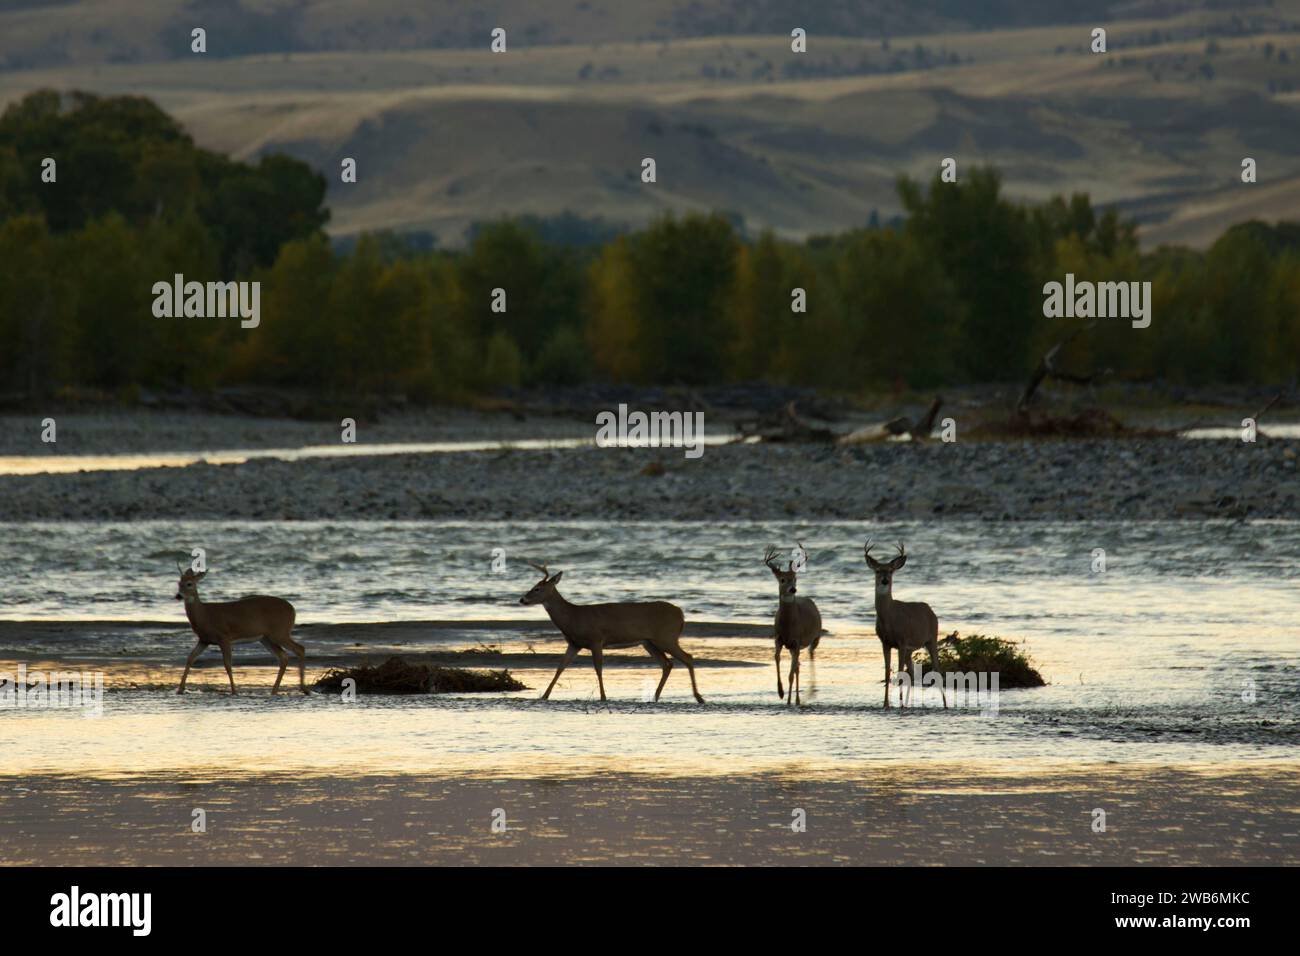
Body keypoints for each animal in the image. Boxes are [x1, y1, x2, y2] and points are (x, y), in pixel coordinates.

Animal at [174, 564, 306, 696]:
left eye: (189, 584)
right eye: (179, 583)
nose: (178, 596)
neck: (205, 615)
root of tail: (293, 609)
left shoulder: (224, 637)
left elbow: (228, 665)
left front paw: (234, 691)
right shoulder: (204, 640)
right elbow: (190, 658)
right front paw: (180, 689)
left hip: (280, 632)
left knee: (299, 649)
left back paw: (304, 689)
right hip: (266, 638)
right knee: (284, 656)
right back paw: (275, 690)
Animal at [518, 560, 704, 704]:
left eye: (537, 588)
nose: (522, 599)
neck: (573, 617)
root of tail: (681, 614)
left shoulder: (596, 639)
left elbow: (598, 668)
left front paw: (603, 696)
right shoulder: (574, 643)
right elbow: (560, 667)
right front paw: (545, 696)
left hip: (666, 637)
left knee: (687, 658)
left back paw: (698, 697)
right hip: (649, 642)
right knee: (667, 664)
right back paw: (655, 697)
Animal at [766, 543, 822, 706]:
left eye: (795, 578)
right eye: (782, 580)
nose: (793, 589)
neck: (788, 627)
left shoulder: (797, 641)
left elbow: (791, 673)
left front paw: (787, 697)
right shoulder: (778, 639)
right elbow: (776, 658)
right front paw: (780, 692)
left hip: (815, 638)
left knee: (803, 662)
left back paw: (800, 697)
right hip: (792, 647)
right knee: (797, 666)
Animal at [864, 541, 947, 709]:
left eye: (890, 571)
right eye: (877, 570)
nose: (885, 580)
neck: (889, 619)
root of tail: (931, 611)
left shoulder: (902, 641)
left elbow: (900, 672)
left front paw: (898, 703)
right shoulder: (885, 642)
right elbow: (887, 673)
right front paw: (885, 704)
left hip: (932, 638)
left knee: (937, 669)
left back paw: (945, 705)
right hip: (911, 649)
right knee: (913, 672)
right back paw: (910, 704)